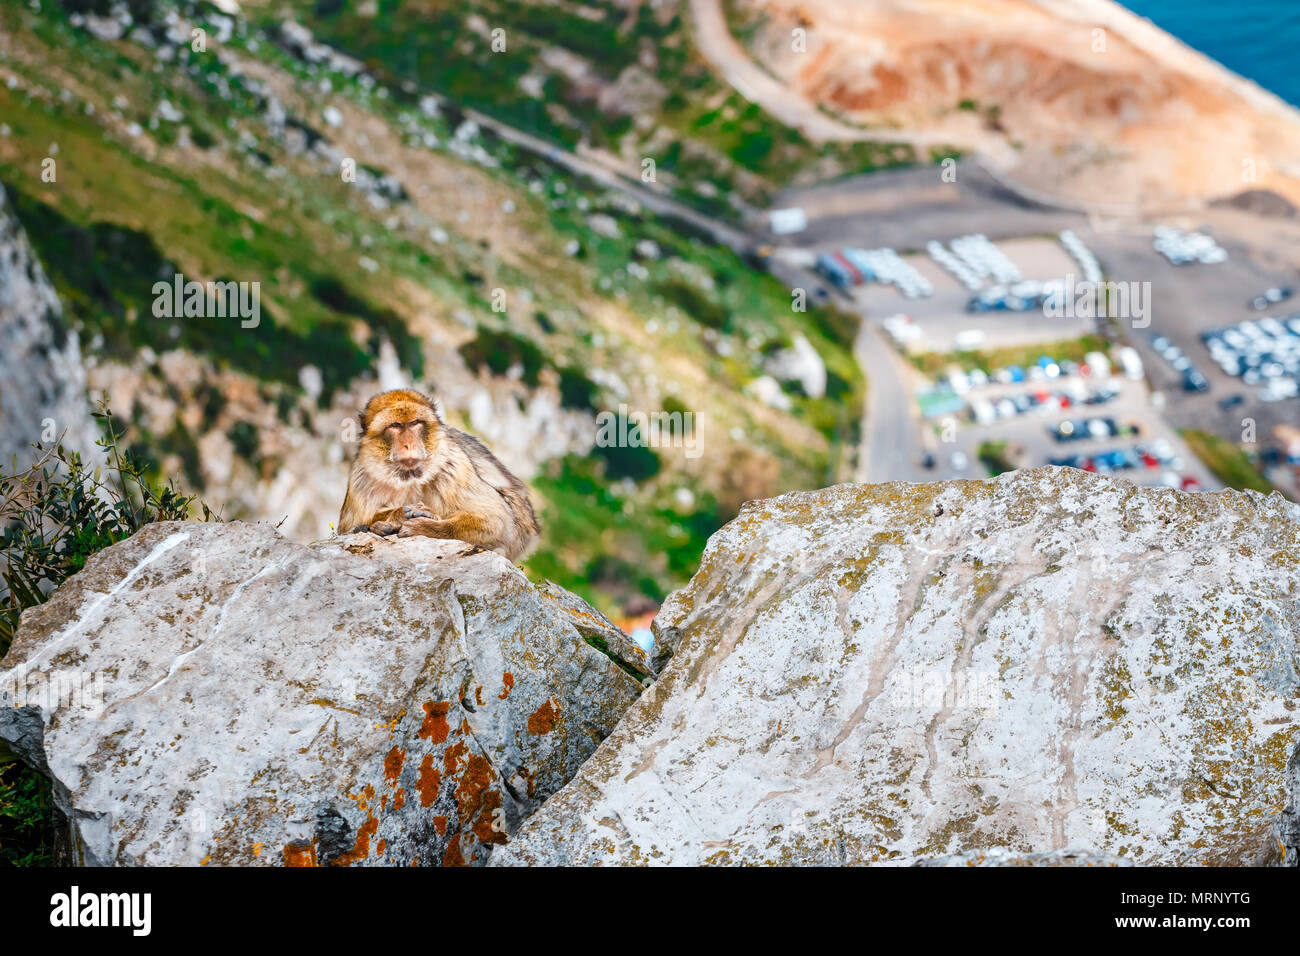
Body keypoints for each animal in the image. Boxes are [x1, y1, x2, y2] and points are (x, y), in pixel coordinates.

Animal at [338, 389, 540, 562]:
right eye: (395, 425)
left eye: (415, 423)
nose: (409, 444)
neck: (408, 477)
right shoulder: (361, 476)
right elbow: (347, 527)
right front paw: (397, 515)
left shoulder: (453, 466)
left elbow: (497, 522)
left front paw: (427, 526)